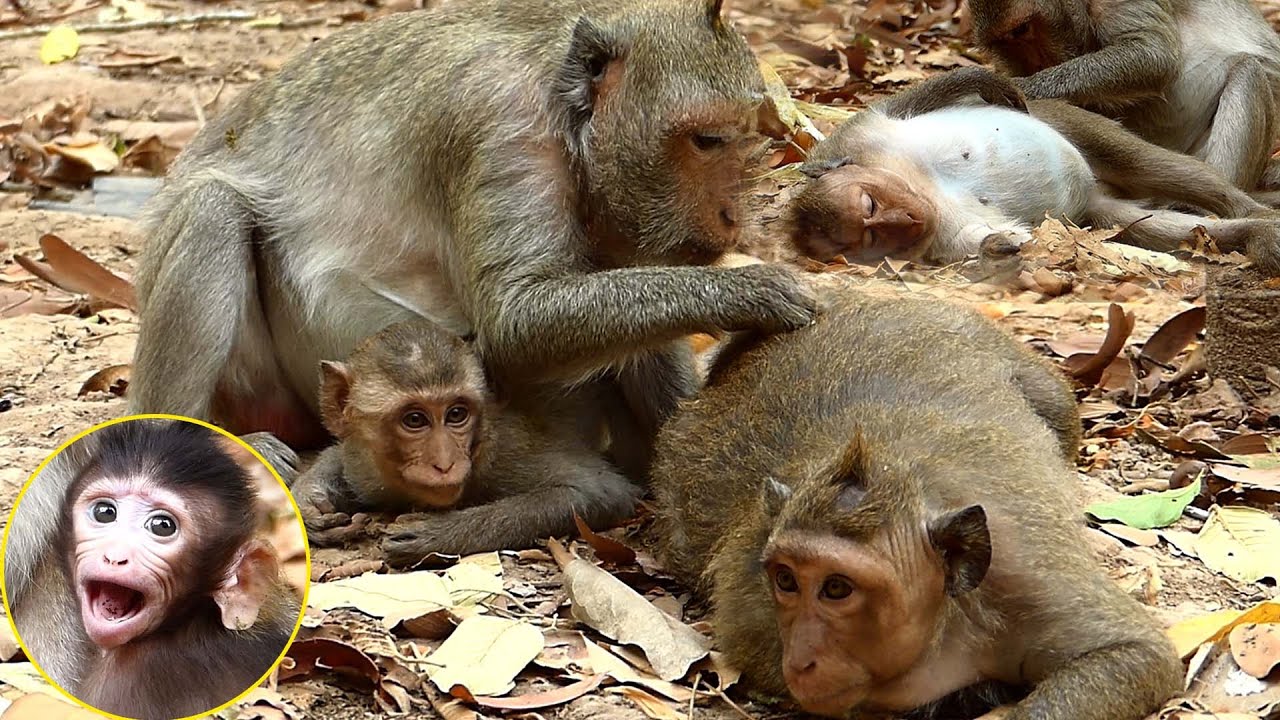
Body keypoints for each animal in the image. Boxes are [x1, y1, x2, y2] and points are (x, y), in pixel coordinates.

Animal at [127, 0, 817, 477]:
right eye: (707, 141)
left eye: (743, 138)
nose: (732, 217)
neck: (564, 100)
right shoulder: (502, 126)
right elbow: (515, 324)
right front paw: (752, 291)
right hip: (255, 386)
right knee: (214, 209)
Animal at [288, 318, 641, 563]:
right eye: (414, 420)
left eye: (456, 414)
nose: (445, 464)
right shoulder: (365, 467)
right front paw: (309, 503)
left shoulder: (505, 451)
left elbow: (598, 490)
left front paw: (438, 533)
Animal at [650, 285, 1181, 720]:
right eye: (786, 581)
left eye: (837, 589)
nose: (802, 660)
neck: (945, 622)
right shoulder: (755, 588)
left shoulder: (1030, 579)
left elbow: (1138, 655)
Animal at [788, 67, 1280, 272]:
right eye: (868, 237)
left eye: (871, 204)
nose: (903, 220)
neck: (920, 187)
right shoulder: (939, 239)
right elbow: (998, 240)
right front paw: (1001, 247)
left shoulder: (857, 141)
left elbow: (902, 106)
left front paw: (982, 81)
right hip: (1096, 207)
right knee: (1139, 222)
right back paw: (1251, 233)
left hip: (1074, 124)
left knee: (1152, 167)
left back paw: (1249, 210)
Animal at [968, 0, 1280, 192]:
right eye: (1001, 43)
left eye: (1021, 29)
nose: (1033, 65)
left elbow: (1152, 56)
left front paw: (1023, 87)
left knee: (1248, 70)